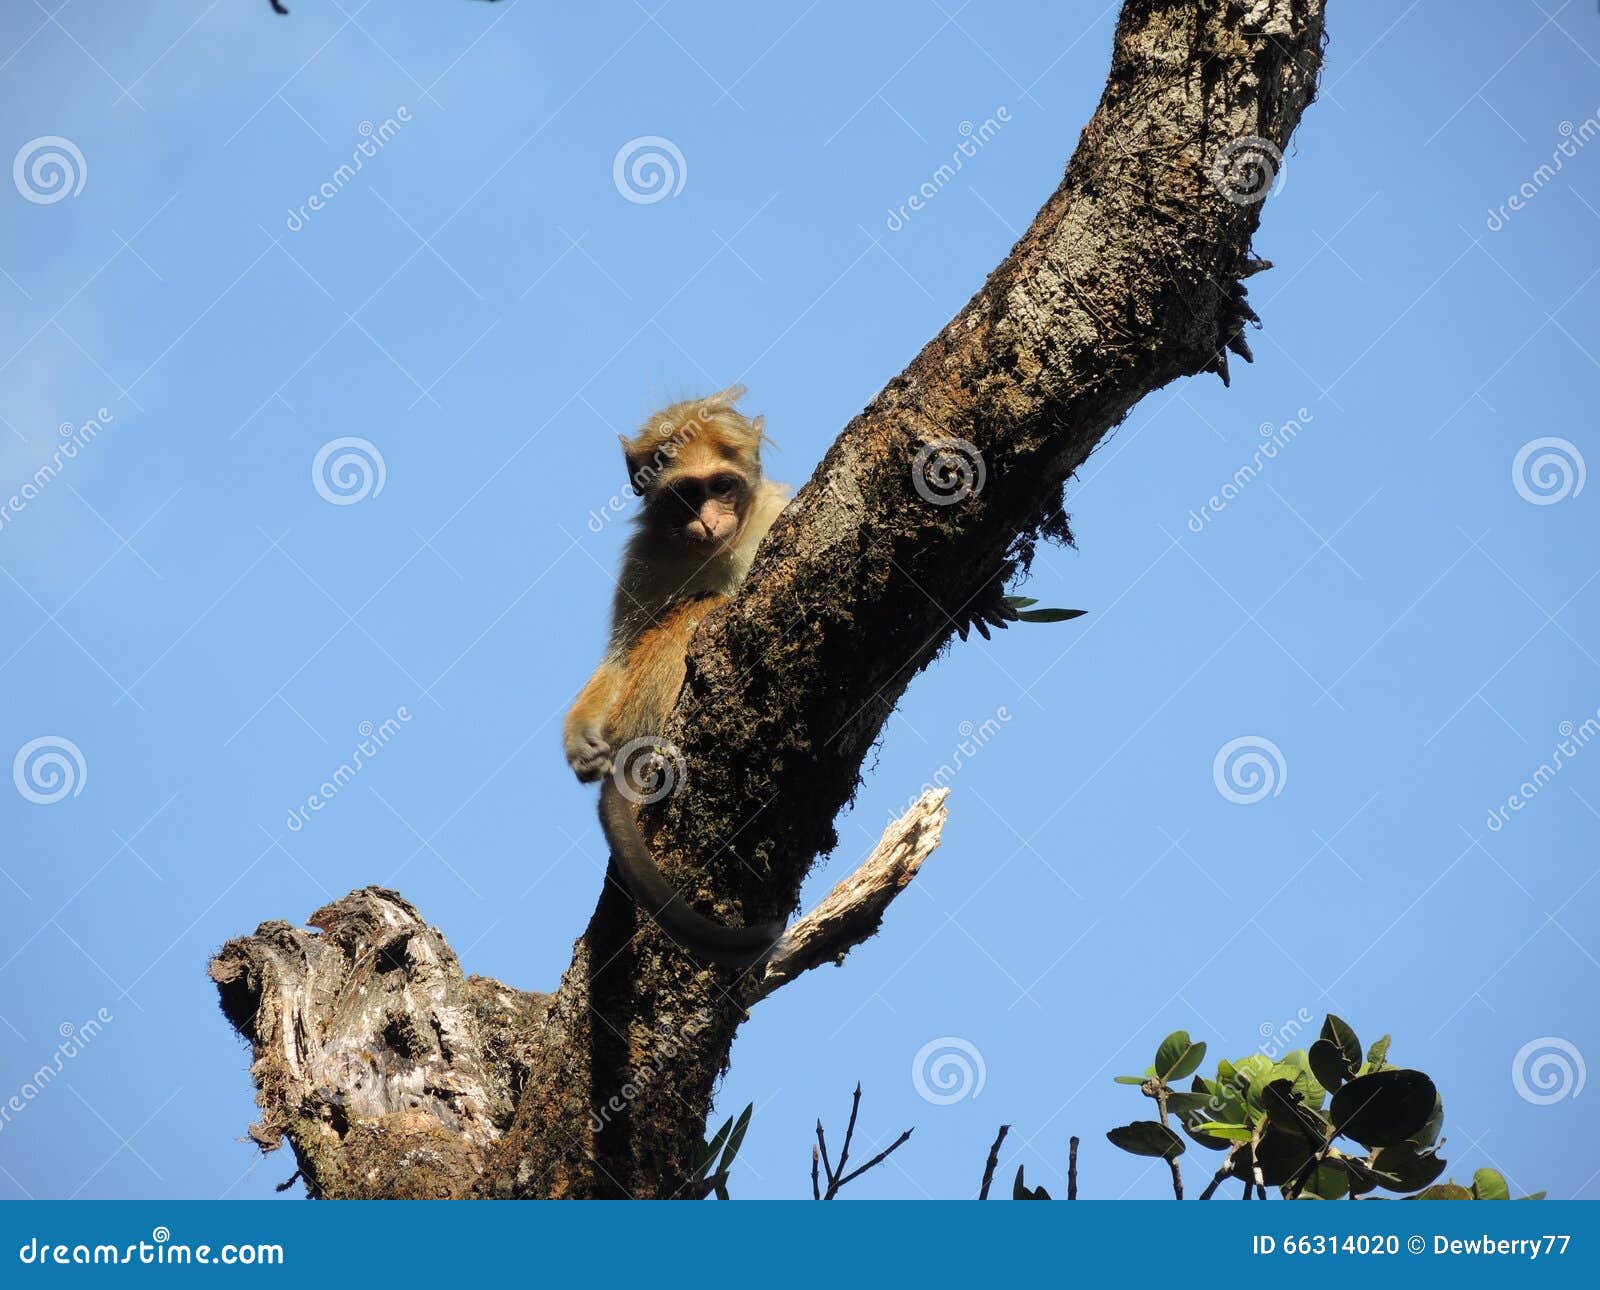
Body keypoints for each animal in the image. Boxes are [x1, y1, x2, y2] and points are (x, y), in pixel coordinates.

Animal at [564, 386, 790, 968]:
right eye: (687, 493)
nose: (708, 521)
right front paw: (578, 743)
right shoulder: (643, 559)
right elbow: (620, 655)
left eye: (722, 486)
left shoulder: (777, 511)